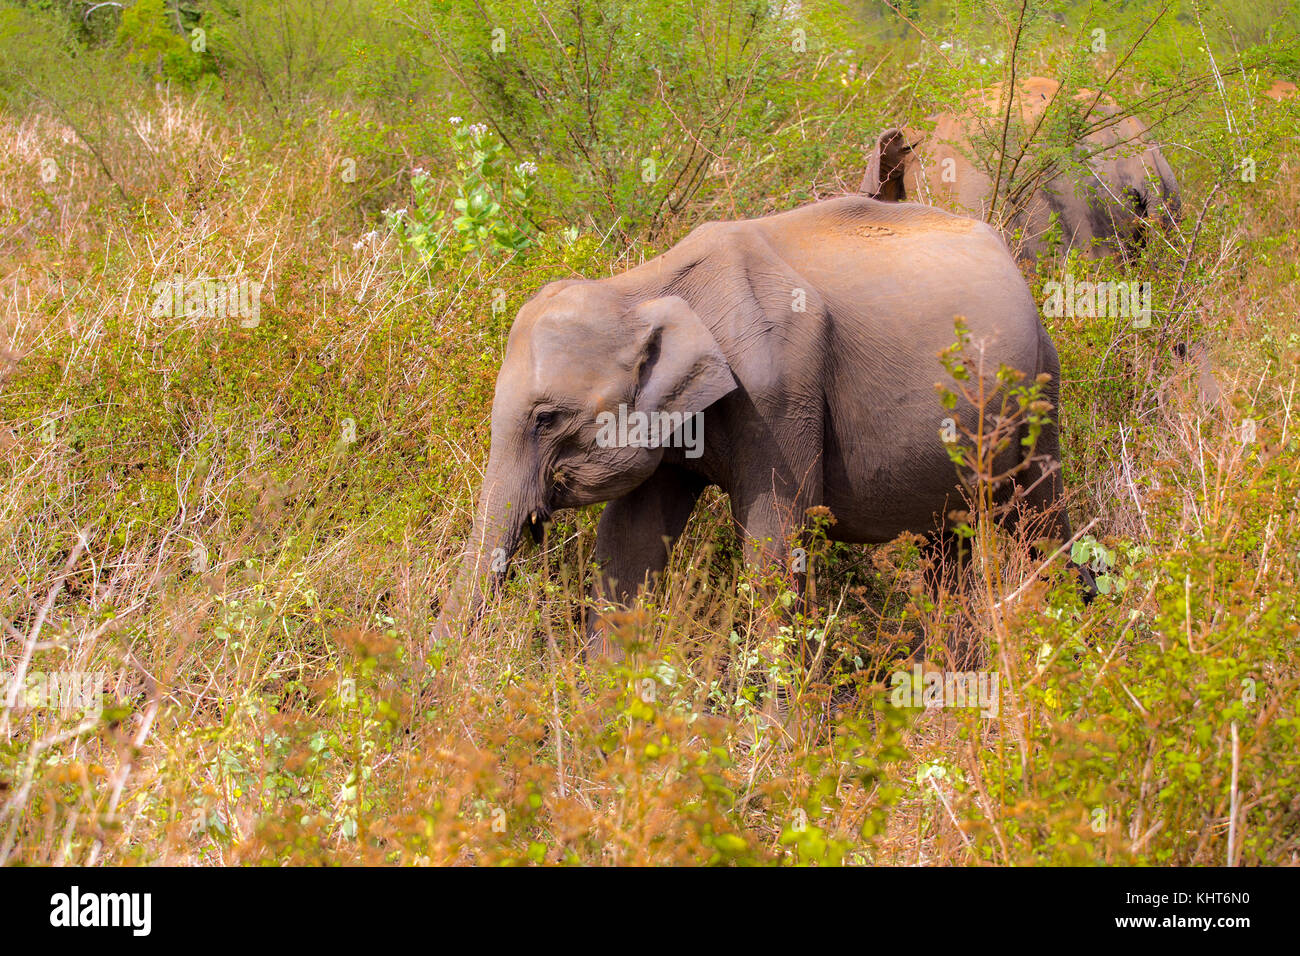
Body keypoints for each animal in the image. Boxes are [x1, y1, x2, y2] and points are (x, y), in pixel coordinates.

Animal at [440, 195, 1095, 656]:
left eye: (547, 418)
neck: (643, 286)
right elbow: (629, 543)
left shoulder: (779, 391)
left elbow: (773, 546)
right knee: (947, 543)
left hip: (1041, 388)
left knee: (1040, 517)